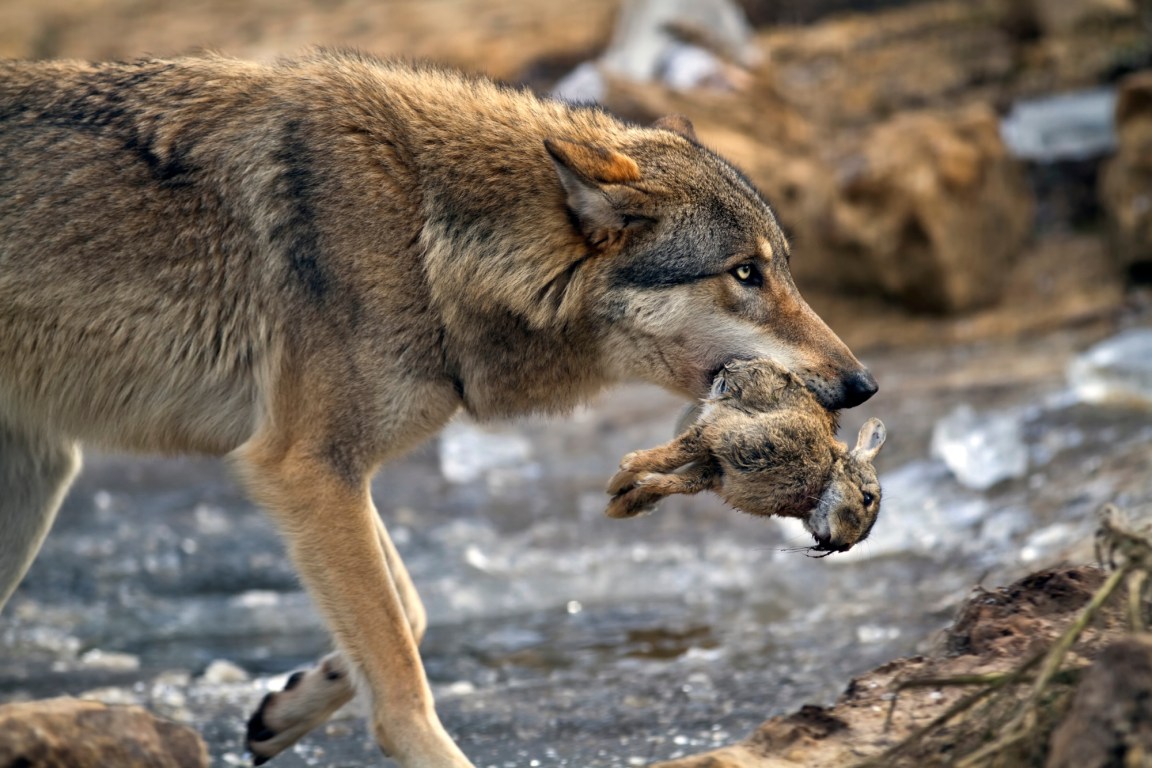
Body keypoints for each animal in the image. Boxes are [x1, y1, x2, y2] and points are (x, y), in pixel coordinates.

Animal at [0, 51, 877, 766]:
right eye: (743, 273)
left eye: (783, 267)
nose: (863, 385)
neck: (426, 233)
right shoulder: (303, 466)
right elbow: (401, 686)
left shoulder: (330, 478)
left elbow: (409, 614)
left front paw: (295, 699)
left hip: (40, 475)